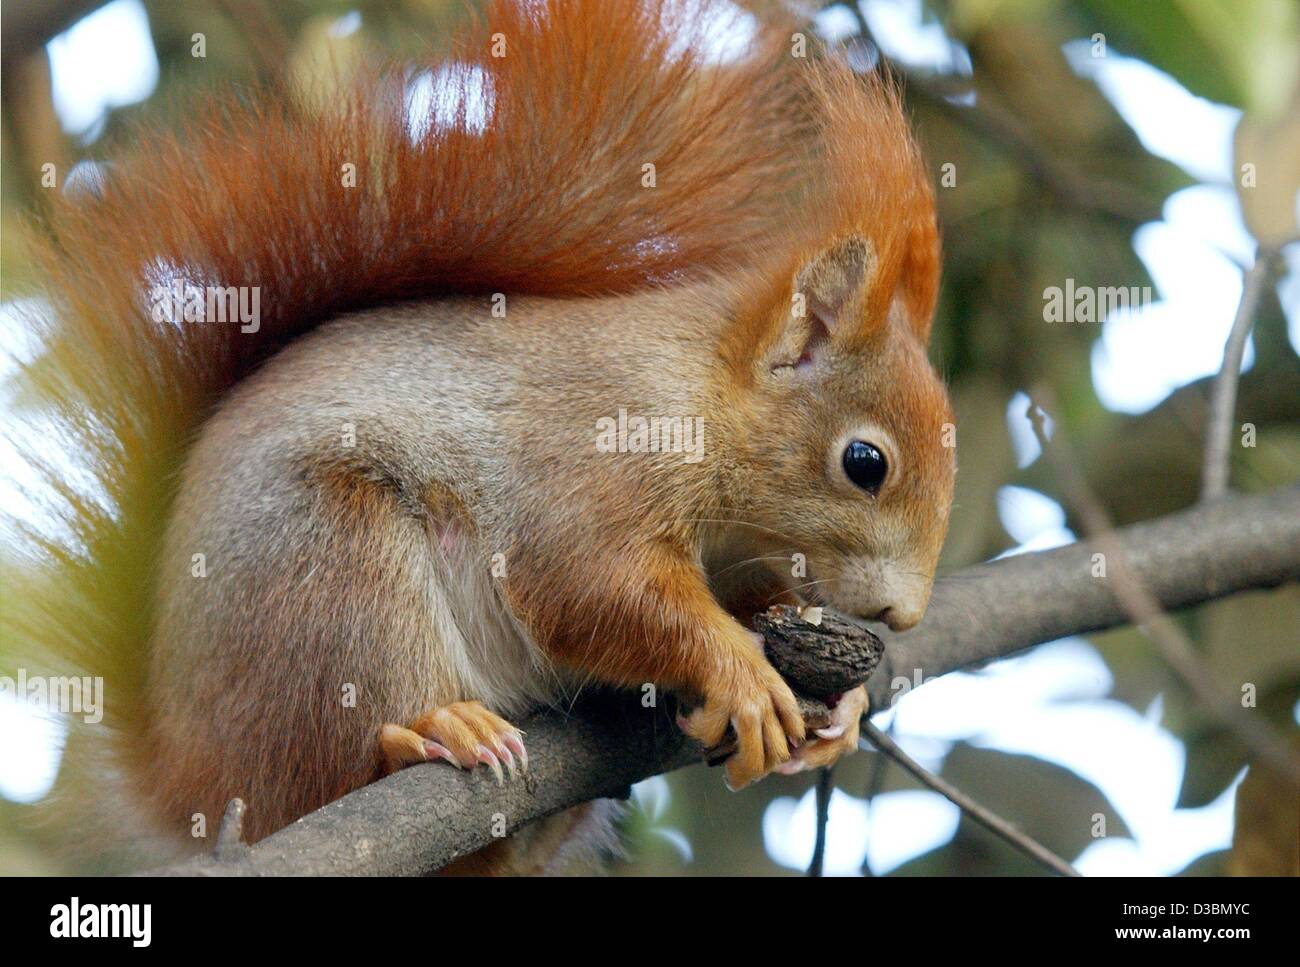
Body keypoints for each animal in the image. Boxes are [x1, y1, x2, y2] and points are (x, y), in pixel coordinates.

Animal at [8, 0, 954, 875]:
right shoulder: (587, 463)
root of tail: (187, 778)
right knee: (337, 750)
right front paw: (741, 673)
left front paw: (841, 707)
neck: (697, 394)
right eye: (864, 462)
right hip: (329, 573)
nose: (906, 614)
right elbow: (592, 584)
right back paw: (430, 728)